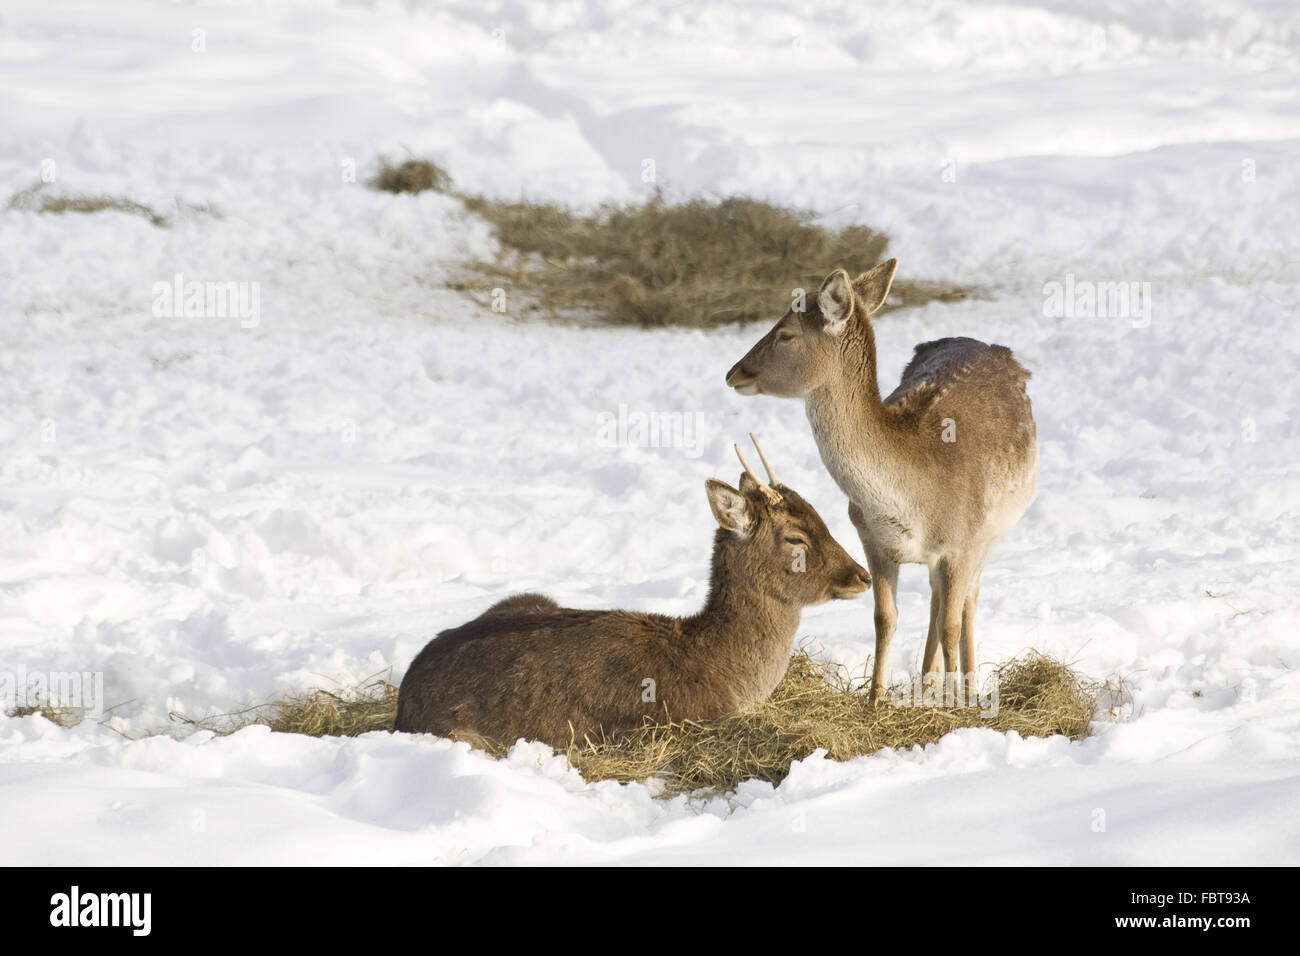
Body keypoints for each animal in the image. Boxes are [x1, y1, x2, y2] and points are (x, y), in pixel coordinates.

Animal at [725, 260, 1037, 703]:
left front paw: (957, 706)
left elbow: (952, 624)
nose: (733, 372)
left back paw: (968, 685)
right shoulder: (871, 538)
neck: (911, 499)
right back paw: (927, 681)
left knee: (967, 601)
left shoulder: (963, 543)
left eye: (785, 333)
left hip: (997, 530)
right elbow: (884, 618)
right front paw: (876, 698)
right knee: (936, 598)